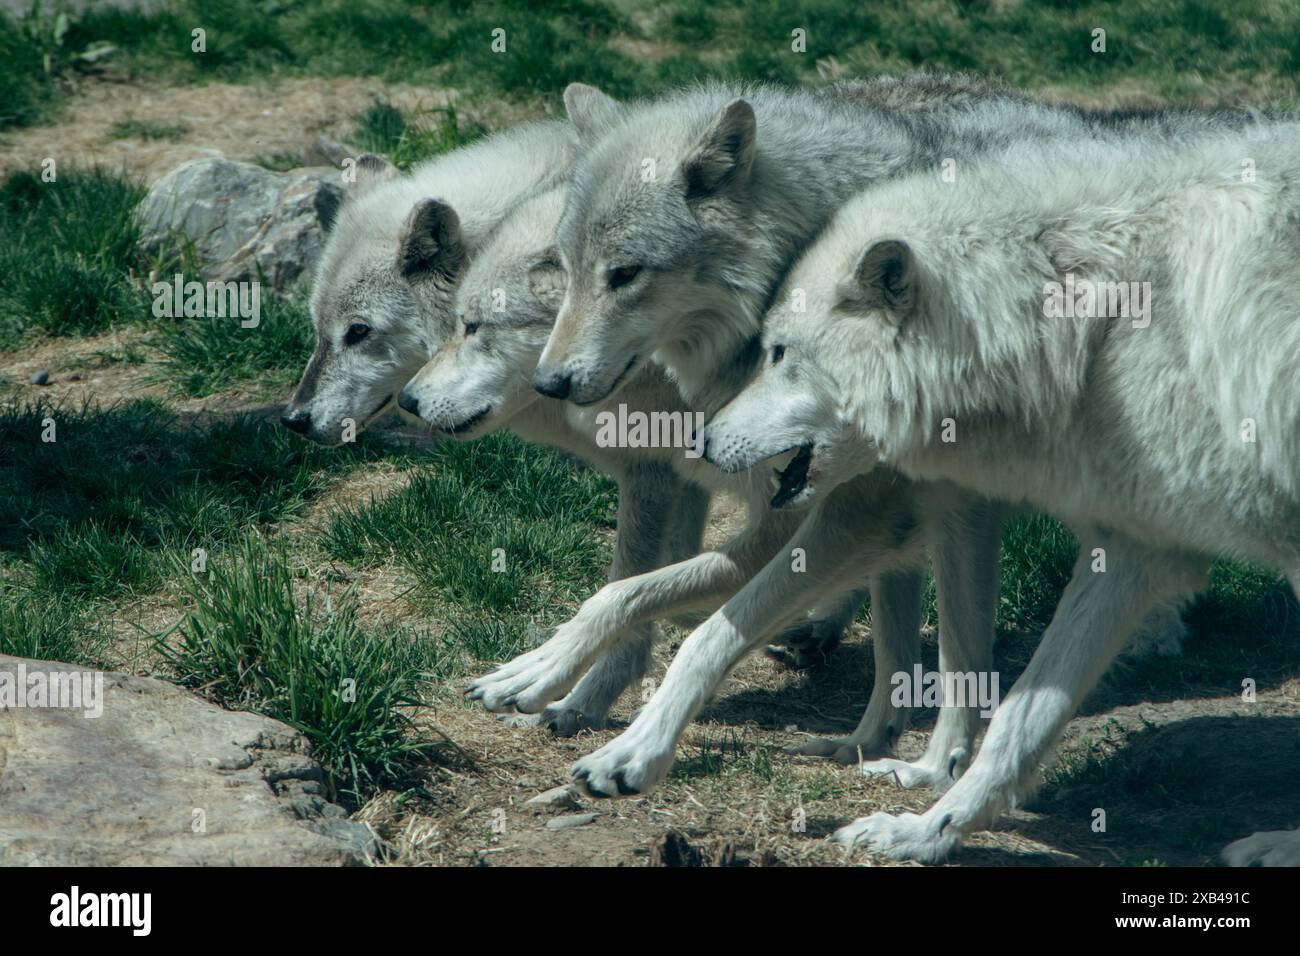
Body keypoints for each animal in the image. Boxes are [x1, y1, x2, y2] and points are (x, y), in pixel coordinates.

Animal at [468, 76, 1196, 800]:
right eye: (567, 271)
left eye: (624, 274)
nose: (551, 382)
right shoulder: (823, 513)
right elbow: (643, 594)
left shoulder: (850, 514)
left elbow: (681, 621)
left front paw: (622, 740)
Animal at [702, 122, 1300, 864]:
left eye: (780, 352)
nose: (701, 439)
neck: (1101, 319)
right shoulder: (1135, 547)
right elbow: (1019, 716)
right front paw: (926, 830)